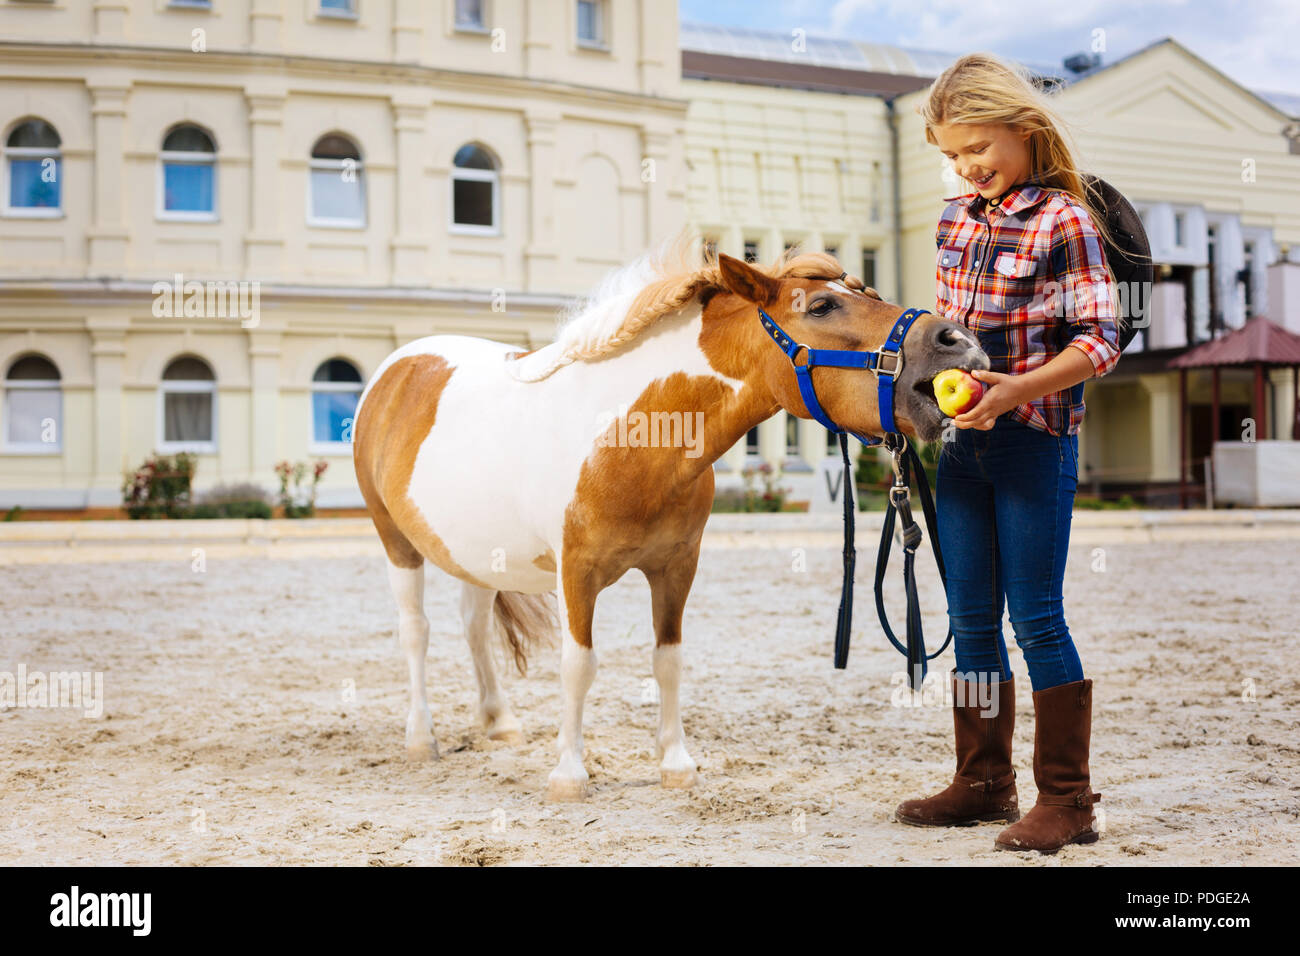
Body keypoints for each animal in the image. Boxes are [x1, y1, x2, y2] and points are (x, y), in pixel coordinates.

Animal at [352, 243, 987, 800]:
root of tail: (397, 368)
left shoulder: (677, 565)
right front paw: (569, 775)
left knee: (474, 626)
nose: (958, 340)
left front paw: (675, 765)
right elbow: (578, 666)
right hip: (395, 542)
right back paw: (421, 738)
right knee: (416, 632)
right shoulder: (575, 573)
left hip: (478, 554)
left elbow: (668, 659)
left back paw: (499, 722)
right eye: (821, 306)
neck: (627, 436)